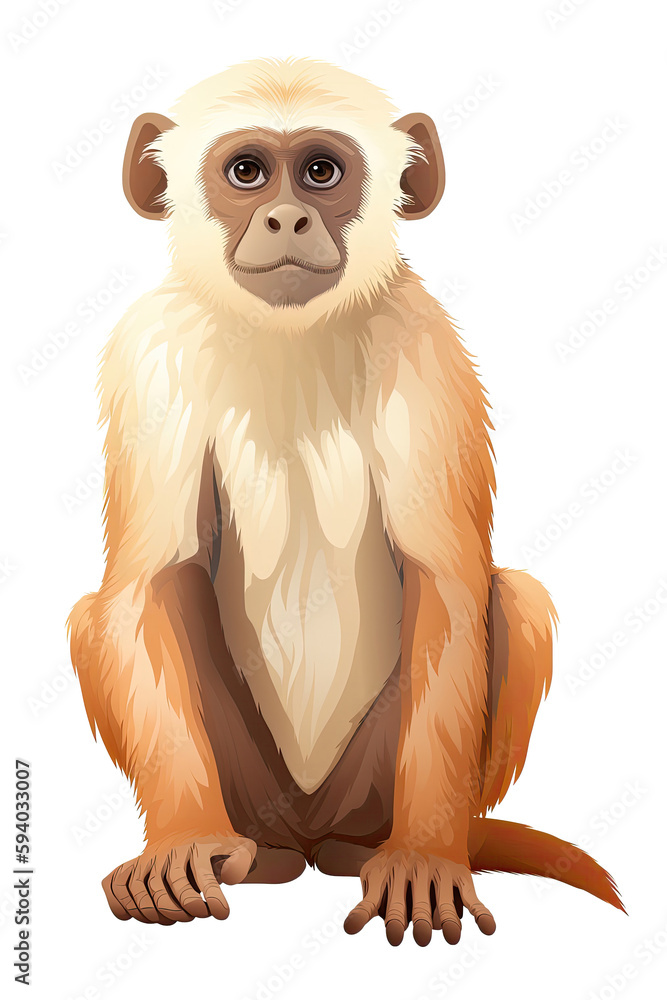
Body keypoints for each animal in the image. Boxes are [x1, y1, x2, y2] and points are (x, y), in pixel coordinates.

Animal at [69, 57, 623, 946]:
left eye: (321, 173)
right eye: (247, 172)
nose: (287, 217)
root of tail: (306, 827)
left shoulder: (426, 348)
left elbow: (449, 584)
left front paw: (425, 857)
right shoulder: (148, 353)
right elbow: (145, 584)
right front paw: (181, 842)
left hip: (364, 784)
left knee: (514, 599)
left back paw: (371, 849)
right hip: (253, 785)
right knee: (95, 615)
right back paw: (251, 856)